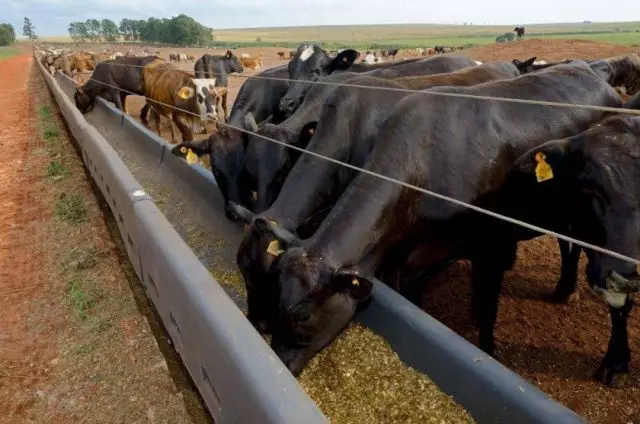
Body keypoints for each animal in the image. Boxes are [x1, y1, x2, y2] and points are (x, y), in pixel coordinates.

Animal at [232, 60, 632, 374]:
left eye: (301, 314)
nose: (260, 328)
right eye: (250, 276)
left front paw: (487, 351)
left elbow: (485, 311)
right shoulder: (402, 258)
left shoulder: (491, 249)